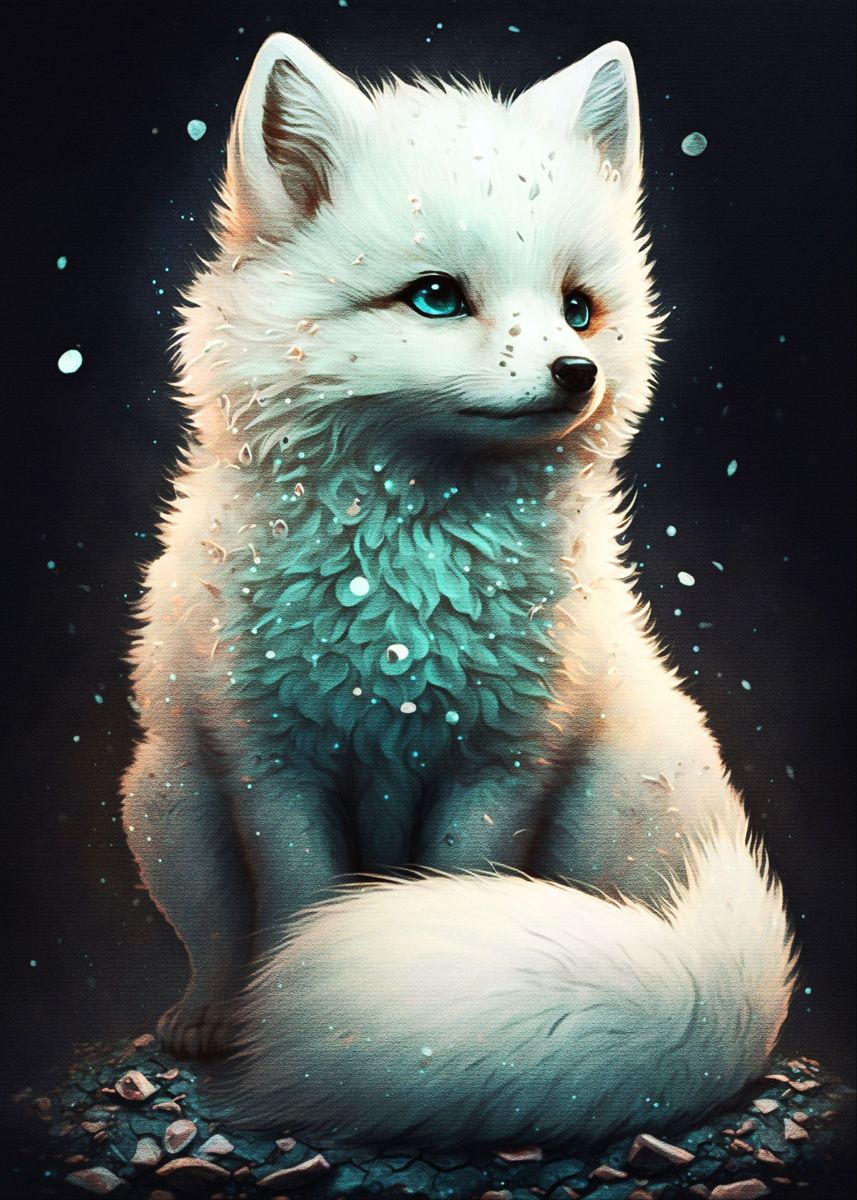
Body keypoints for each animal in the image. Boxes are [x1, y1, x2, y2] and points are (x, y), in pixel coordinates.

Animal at [121, 33, 796, 1150]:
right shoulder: (275, 761)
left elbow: (452, 883)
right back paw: (213, 1015)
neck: (403, 606)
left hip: (616, 804)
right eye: (435, 296)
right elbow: (297, 895)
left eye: (578, 308)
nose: (574, 373)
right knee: (213, 939)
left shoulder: (500, 764)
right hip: (164, 800)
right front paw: (278, 1011)